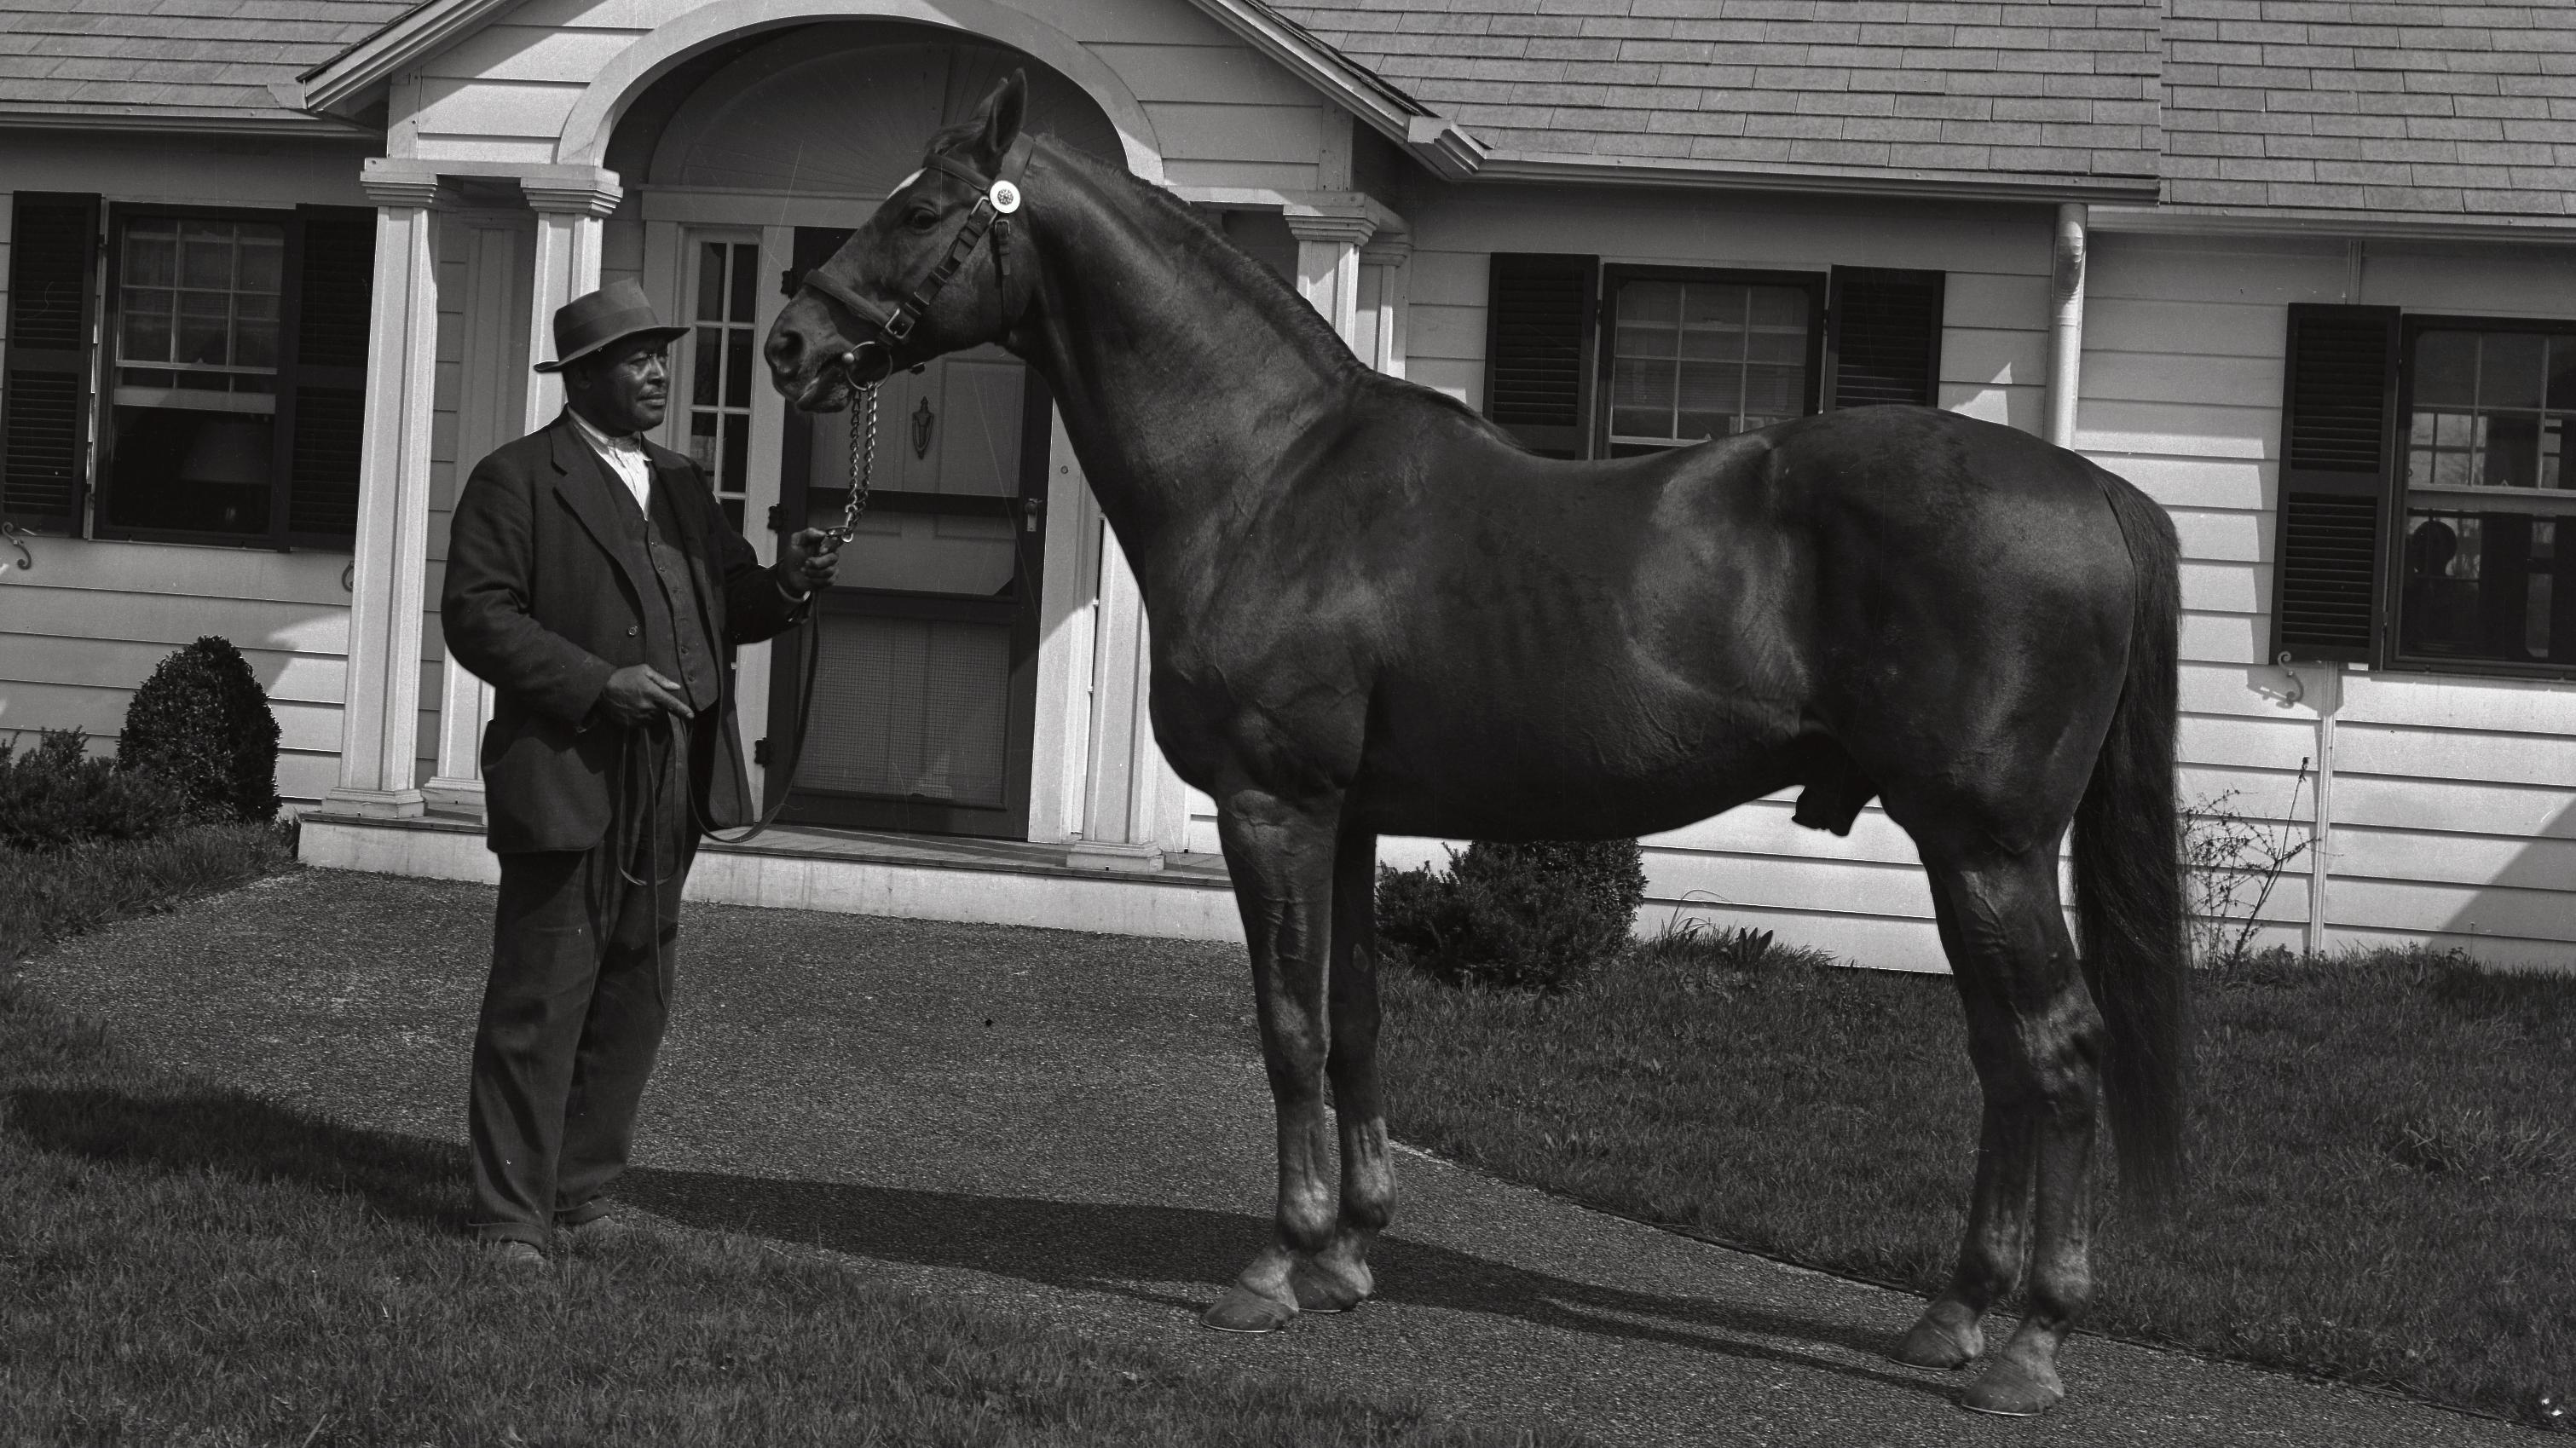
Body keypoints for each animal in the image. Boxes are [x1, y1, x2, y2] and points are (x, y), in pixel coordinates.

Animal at [765, 71, 2186, 1418]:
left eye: (922, 210)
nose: (791, 342)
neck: (1265, 478)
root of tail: (2089, 486)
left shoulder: (1271, 806)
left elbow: (1287, 1027)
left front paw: (1272, 1266)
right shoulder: (1345, 819)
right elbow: (1351, 1019)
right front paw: (1347, 1253)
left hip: (1989, 845)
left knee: (2056, 1049)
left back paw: (2030, 1345)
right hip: (1960, 849)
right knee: (2002, 1058)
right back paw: (1952, 1317)